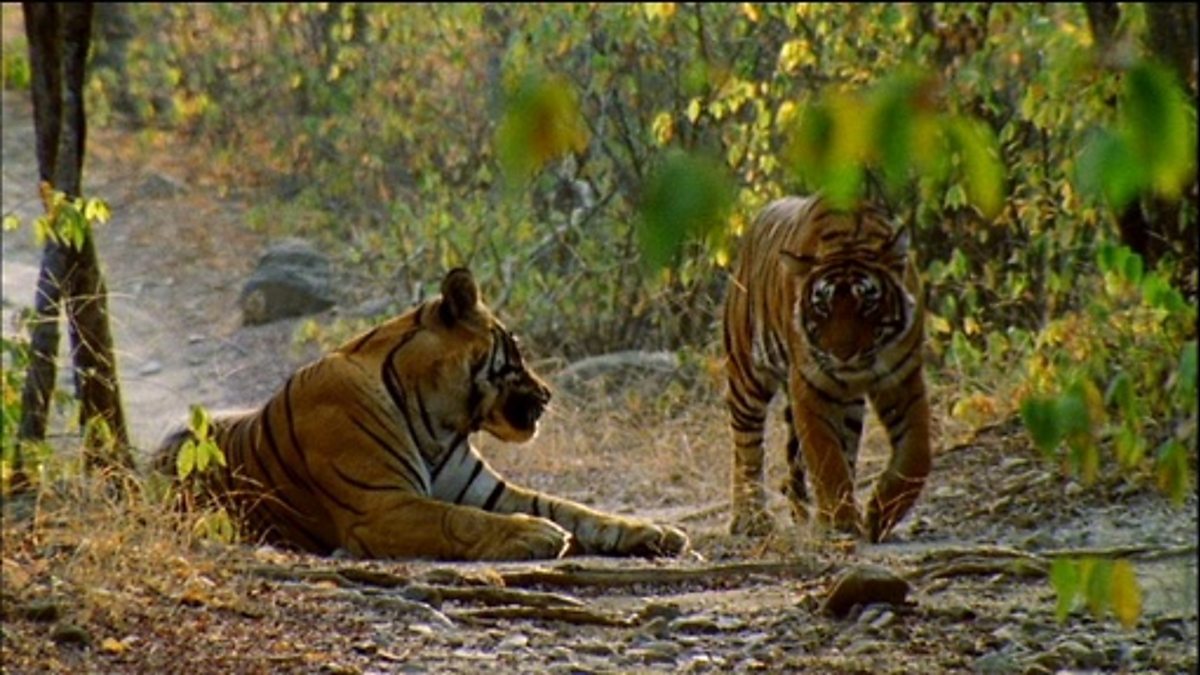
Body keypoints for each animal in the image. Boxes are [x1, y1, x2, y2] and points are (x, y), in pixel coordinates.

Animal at [155, 267, 690, 561]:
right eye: (515, 350)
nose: (548, 393)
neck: (442, 421)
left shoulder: (492, 492)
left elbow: (572, 507)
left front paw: (655, 531)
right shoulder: (380, 506)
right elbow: (458, 519)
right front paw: (535, 533)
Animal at [722, 195, 931, 543]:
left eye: (868, 303)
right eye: (822, 306)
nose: (843, 356)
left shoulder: (903, 378)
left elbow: (916, 456)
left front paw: (878, 515)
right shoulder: (811, 385)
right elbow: (827, 459)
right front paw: (841, 522)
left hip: (848, 406)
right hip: (747, 374)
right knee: (746, 446)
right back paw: (750, 518)